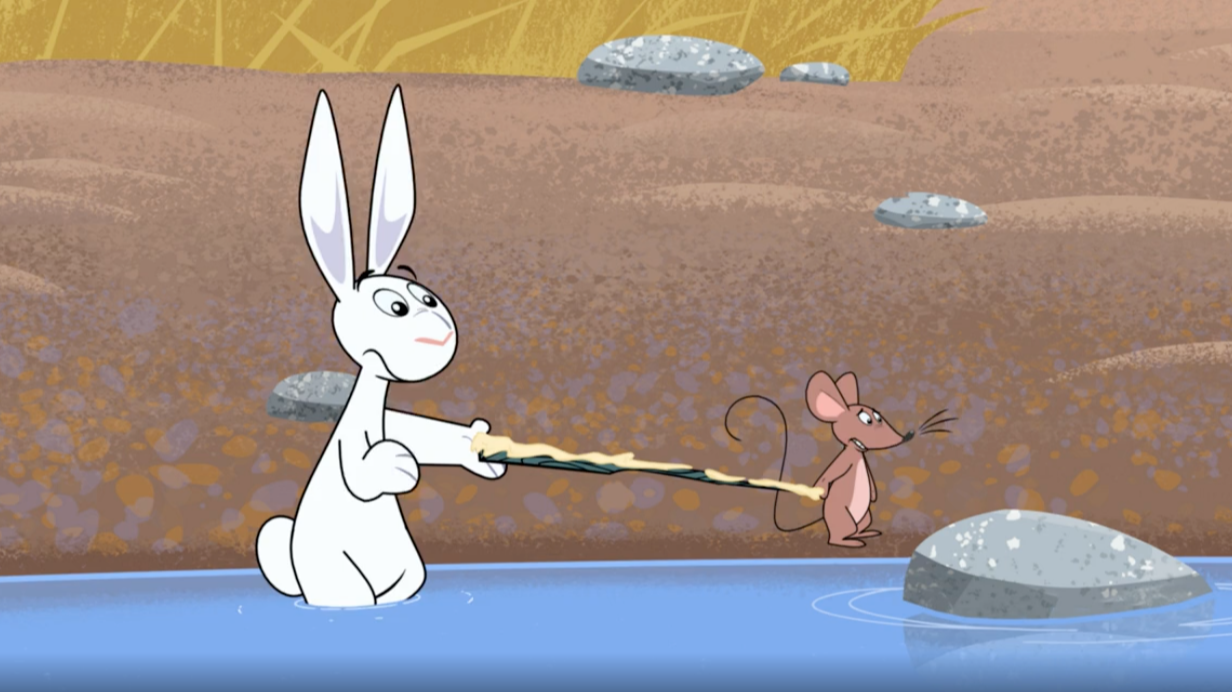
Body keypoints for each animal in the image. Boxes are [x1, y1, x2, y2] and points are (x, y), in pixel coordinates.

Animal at [256, 85, 507, 609]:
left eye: (427, 297)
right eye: (396, 307)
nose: (443, 328)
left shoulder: (397, 421)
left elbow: (425, 436)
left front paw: (477, 448)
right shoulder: (350, 448)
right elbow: (363, 472)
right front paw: (395, 462)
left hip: (408, 568)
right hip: (340, 577)